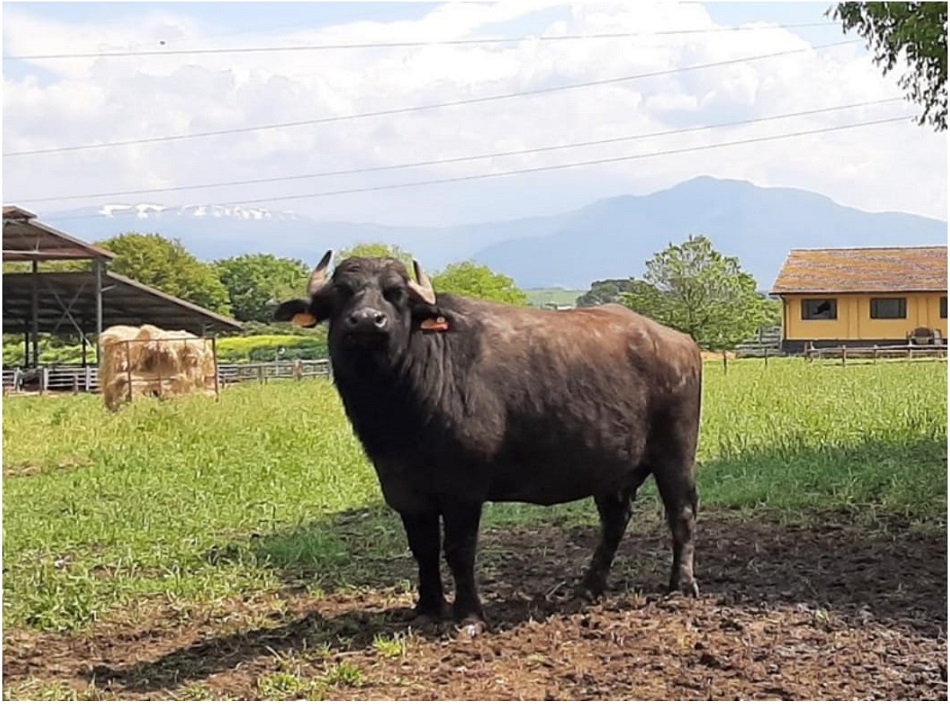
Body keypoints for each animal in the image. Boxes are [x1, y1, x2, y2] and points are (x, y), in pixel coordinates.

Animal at [274, 252, 702, 631]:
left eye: (394, 292)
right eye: (341, 293)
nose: (367, 320)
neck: (402, 405)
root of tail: (680, 342)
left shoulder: (464, 492)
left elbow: (459, 551)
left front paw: (469, 615)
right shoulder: (404, 491)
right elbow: (423, 549)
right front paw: (428, 608)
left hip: (675, 455)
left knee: (681, 513)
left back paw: (680, 585)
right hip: (610, 471)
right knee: (615, 520)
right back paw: (588, 588)